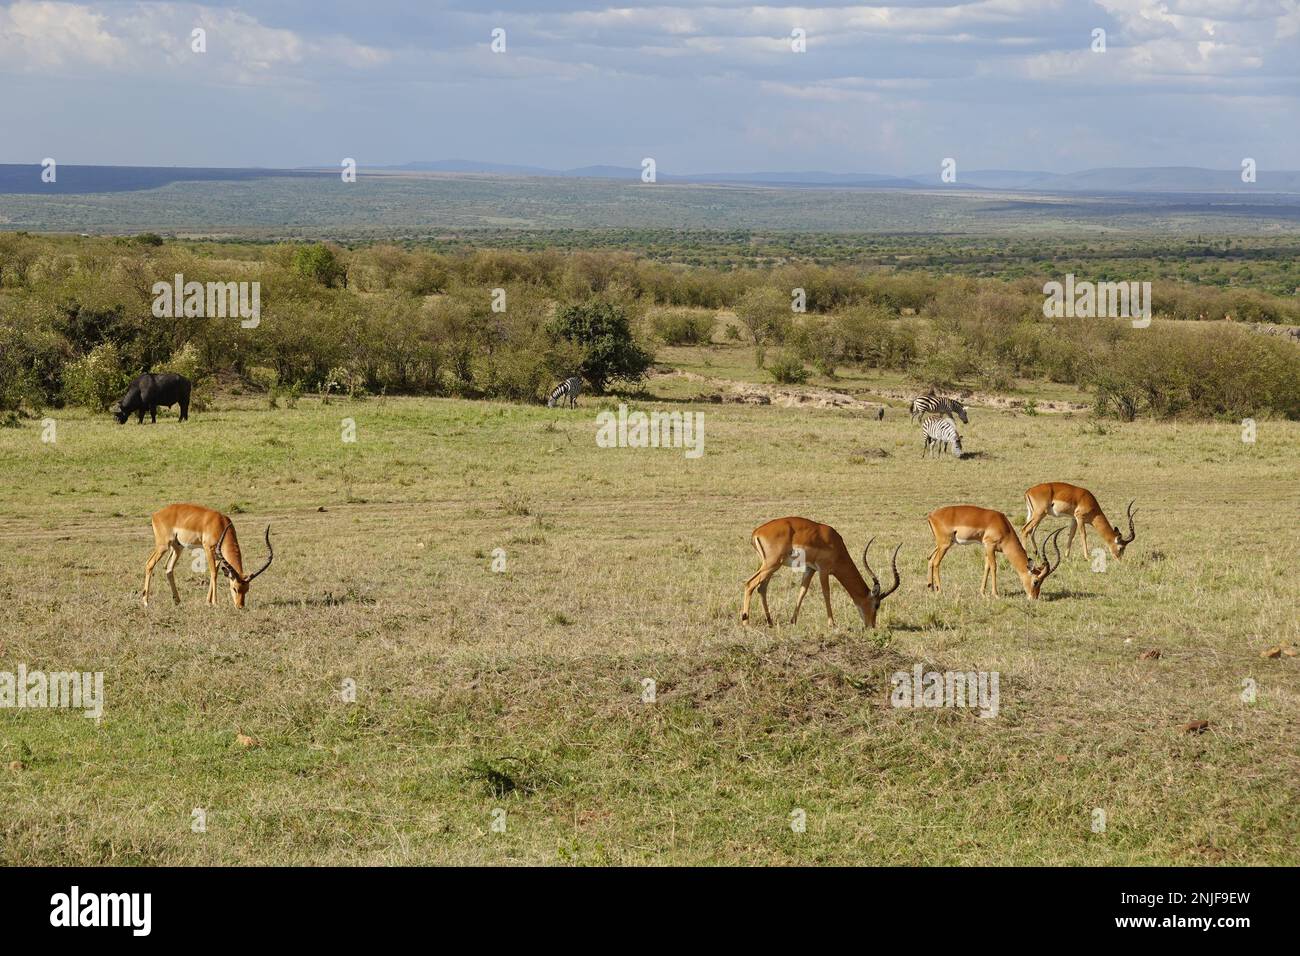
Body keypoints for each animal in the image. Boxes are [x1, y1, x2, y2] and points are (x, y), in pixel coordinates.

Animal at [141, 504, 273, 608]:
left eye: (247, 589)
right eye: (235, 588)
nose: (240, 606)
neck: (220, 523)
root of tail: (156, 514)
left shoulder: (218, 555)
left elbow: (214, 572)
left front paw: (208, 601)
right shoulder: (208, 549)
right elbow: (214, 573)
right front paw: (215, 602)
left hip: (178, 547)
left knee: (169, 569)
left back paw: (177, 601)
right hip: (163, 546)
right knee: (149, 564)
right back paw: (146, 602)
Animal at [742, 517, 901, 628]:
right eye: (877, 605)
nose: (871, 626)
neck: (835, 544)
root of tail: (757, 532)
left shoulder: (810, 569)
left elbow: (802, 591)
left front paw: (793, 621)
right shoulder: (823, 570)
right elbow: (826, 594)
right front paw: (832, 624)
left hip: (769, 566)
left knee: (762, 588)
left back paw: (770, 622)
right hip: (772, 564)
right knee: (750, 583)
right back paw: (746, 622)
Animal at [926, 505, 1065, 599]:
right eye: (1036, 581)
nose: (1034, 597)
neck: (1004, 528)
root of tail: (931, 515)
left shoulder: (986, 548)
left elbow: (986, 567)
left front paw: (982, 593)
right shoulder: (990, 546)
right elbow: (993, 567)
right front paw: (996, 594)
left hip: (940, 545)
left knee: (931, 560)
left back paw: (931, 588)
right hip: (945, 545)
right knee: (936, 562)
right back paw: (940, 591)